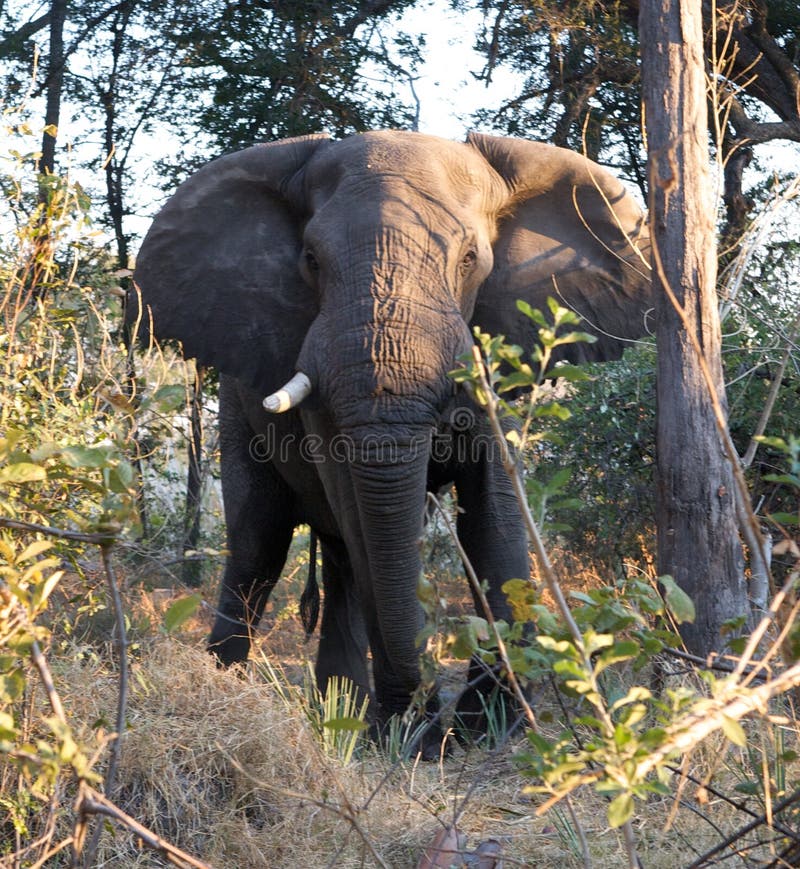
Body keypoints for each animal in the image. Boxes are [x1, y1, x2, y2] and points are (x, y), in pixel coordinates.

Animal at [129, 130, 651, 757]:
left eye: (470, 260)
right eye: (311, 261)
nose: (429, 718)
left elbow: (492, 511)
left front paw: (490, 728)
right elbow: (358, 507)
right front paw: (409, 733)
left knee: (336, 556)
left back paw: (342, 711)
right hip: (236, 413)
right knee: (261, 545)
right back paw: (246, 692)